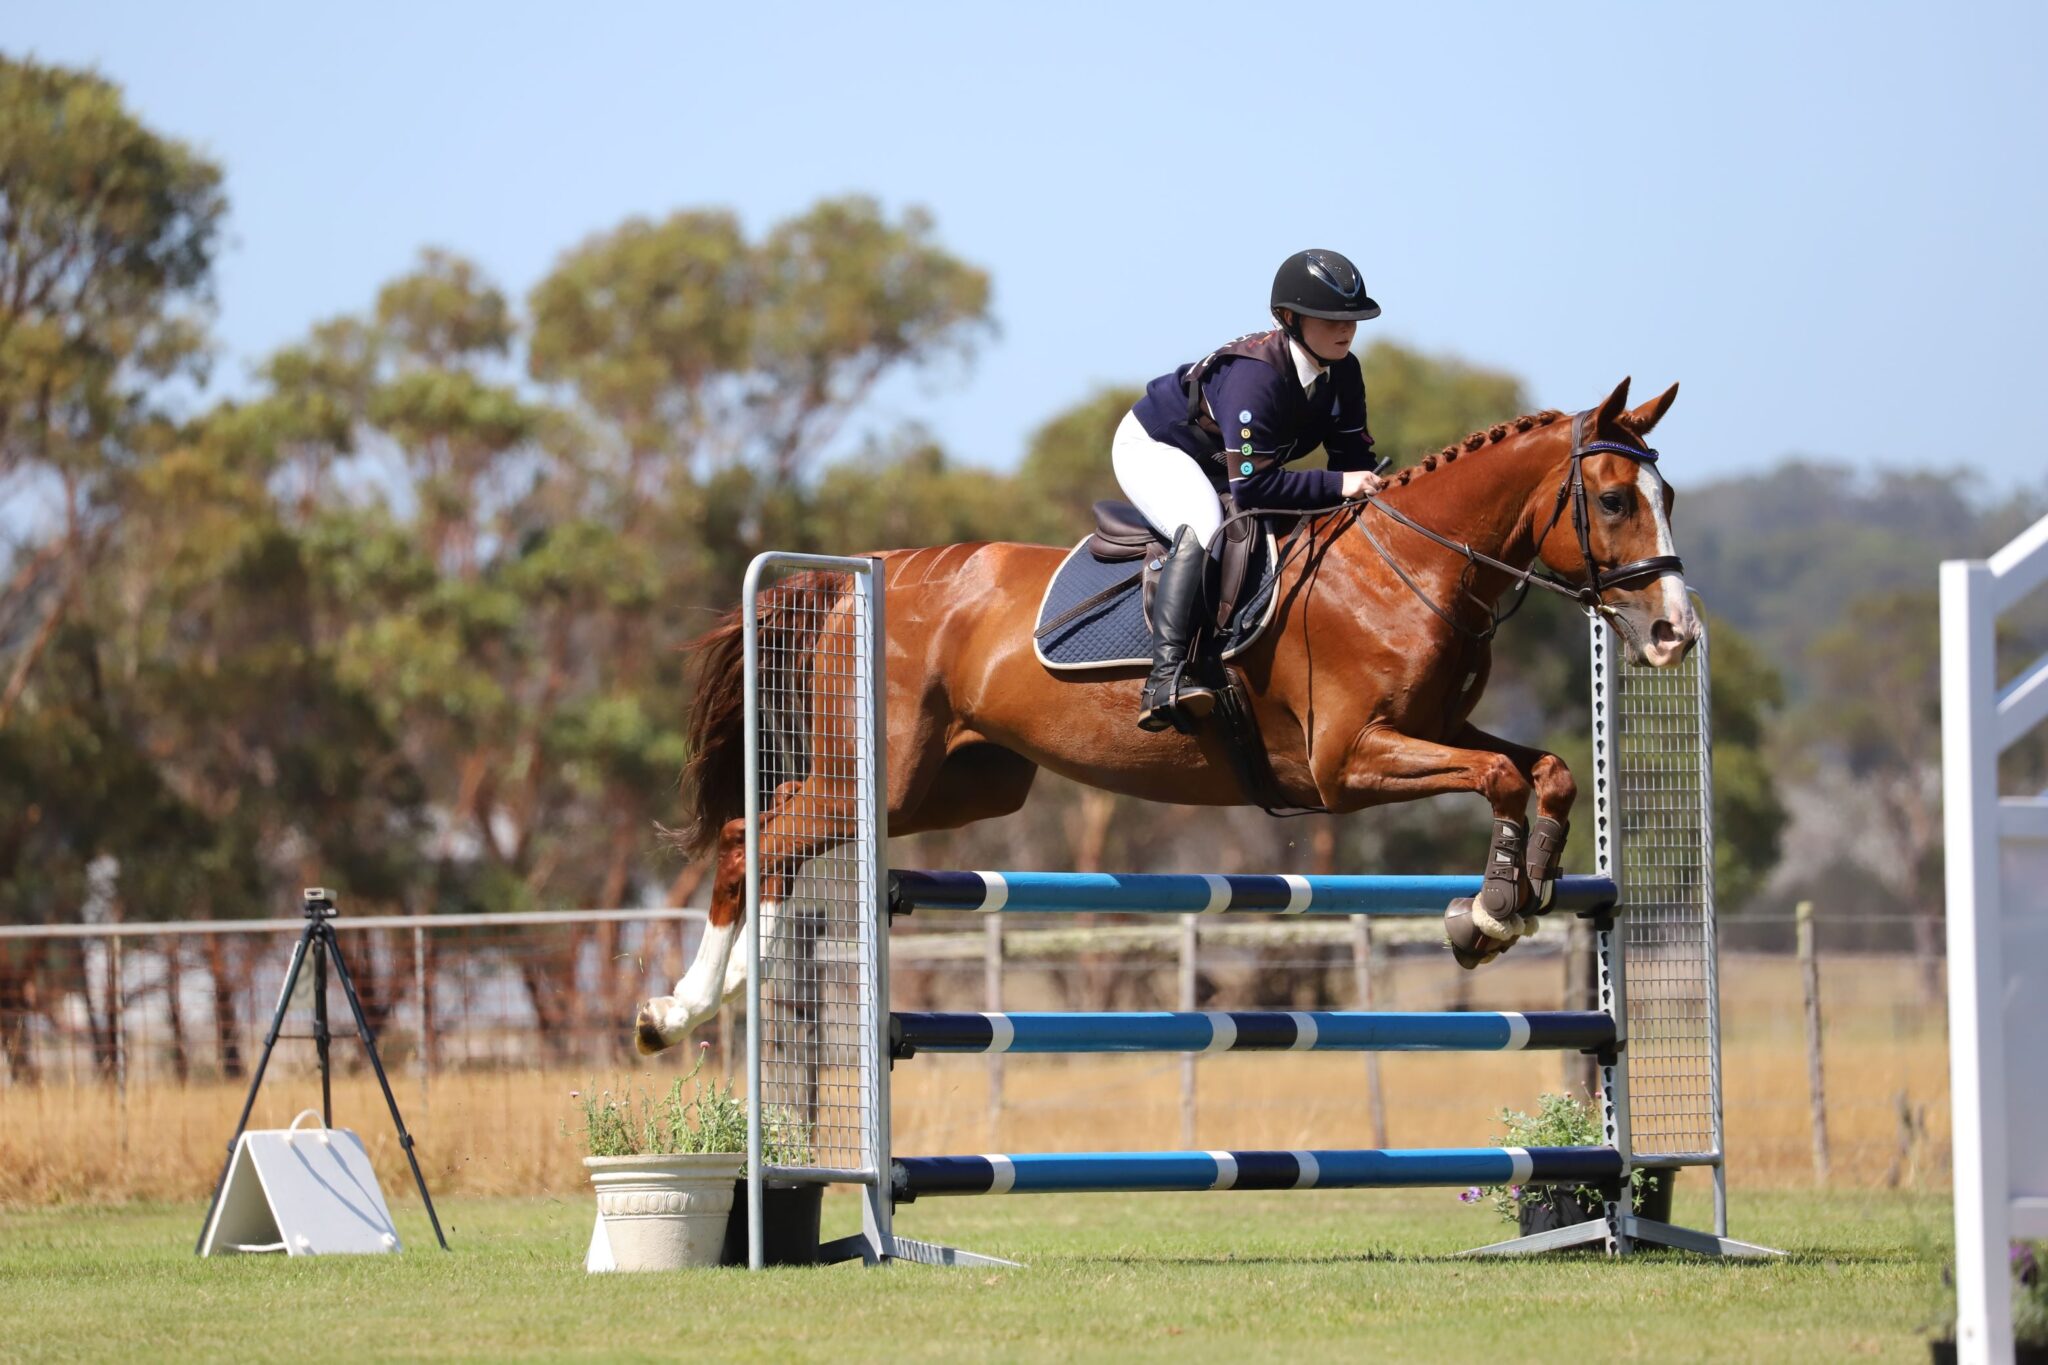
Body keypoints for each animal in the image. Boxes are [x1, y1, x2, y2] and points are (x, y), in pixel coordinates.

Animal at [635, 378, 1696, 1055]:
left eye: (1669, 492)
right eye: (1612, 499)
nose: (1674, 632)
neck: (1408, 563)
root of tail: (862, 575)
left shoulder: (1433, 728)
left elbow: (1547, 769)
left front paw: (1516, 895)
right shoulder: (1347, 764)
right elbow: (1504, 776)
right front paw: (1487, 911)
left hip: (953, 788)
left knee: (773, 840)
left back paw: (717, 995)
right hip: (878, 772)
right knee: (751, 835)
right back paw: (679, 1011)